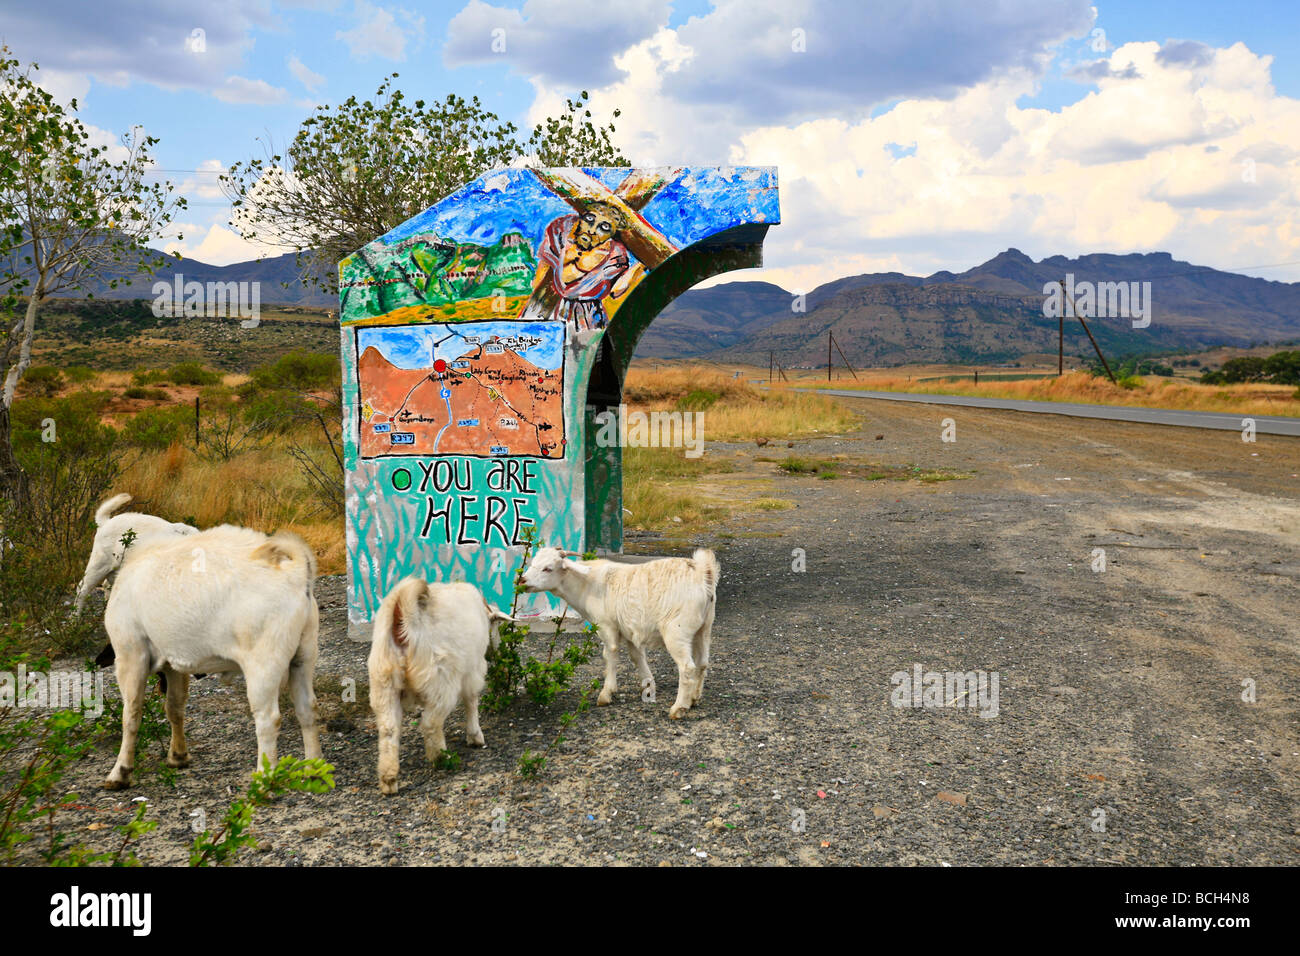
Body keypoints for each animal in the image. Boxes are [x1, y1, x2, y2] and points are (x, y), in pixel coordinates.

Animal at [101, 525, 320, 789]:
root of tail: (295, 574)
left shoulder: (130, 655)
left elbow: (131, 714)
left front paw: (120, 772)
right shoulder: (175, 664)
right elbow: (174, 707)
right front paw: (178, 756)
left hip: (263, 664)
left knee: (268, 719)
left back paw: (263, 778)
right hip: (304, 656)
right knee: (307, 709)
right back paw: (313, 768)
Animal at [368, 576, 510, 794]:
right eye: (496, 627)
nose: (498, 649)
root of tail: (406, 616)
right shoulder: (473, 670)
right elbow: (471, 701)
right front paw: (475, 736)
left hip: (383, 681)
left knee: (388, 729)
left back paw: (389, 779)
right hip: (441, 680)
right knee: (430, 723)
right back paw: (442, 758)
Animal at [520, 547, 719, 718]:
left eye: (548, 568)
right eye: (533, 563)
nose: (522, 581)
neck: (588, 584)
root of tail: (703, 572)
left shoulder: (606, 626)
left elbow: (610, 655)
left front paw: (606, 694)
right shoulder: (630, 629)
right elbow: (636, 657)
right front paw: (648, 685)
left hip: (677, 632)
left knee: (687, 667)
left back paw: (678, 708)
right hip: (704, 628)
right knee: (702, 663)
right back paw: (694, 699)